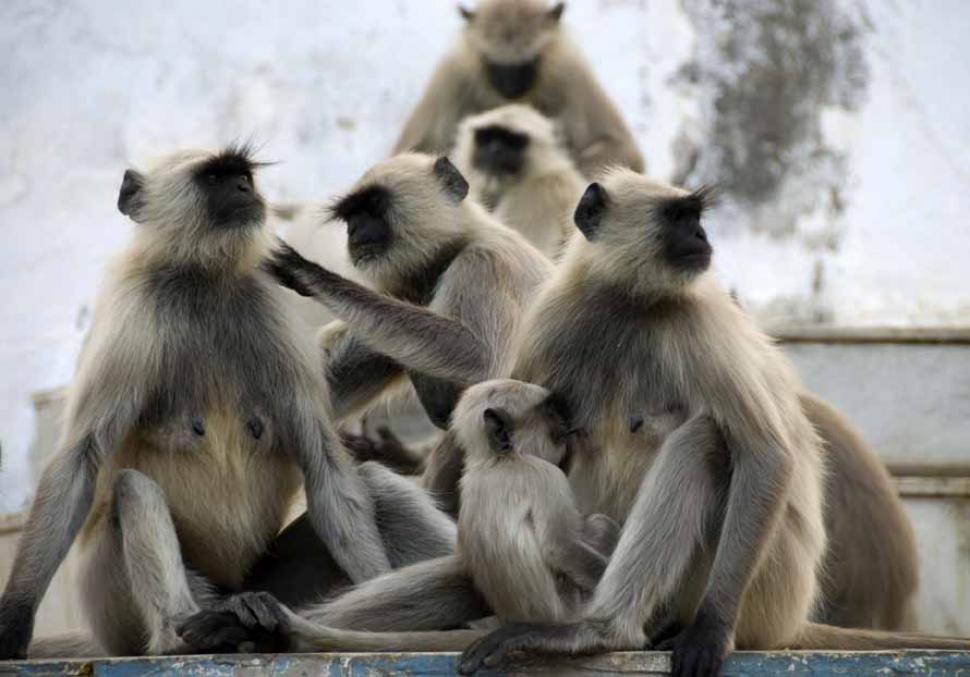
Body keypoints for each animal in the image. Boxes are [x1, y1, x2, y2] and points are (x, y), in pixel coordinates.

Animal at [0, 146, 455, 659]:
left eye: (241, 176)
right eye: (215, 178)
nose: (243, 189)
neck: (205, 279)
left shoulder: (271, 317)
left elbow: (322, 460)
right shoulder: (132, 321)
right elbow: (80, 459)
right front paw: (13, 620)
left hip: (270, 580)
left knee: (373, 481)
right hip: (113, 608)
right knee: (132, 489)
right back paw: (187, 637)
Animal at [394, 0, 644, 177]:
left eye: (527, 63)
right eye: (495, 64)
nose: (510, 86)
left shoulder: (572, 75)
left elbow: (626, 150)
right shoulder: (451, 78)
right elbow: (410, 151)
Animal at [457, 170, 970, 675]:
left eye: (695, 218)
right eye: (678, 218)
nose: (703, 237)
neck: (629, 304)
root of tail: (791, 620)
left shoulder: (699, 323)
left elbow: (765, 456)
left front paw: (710, 629)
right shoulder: (550, 321)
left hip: (767, 589)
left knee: (704, 439)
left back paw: (603, 632)